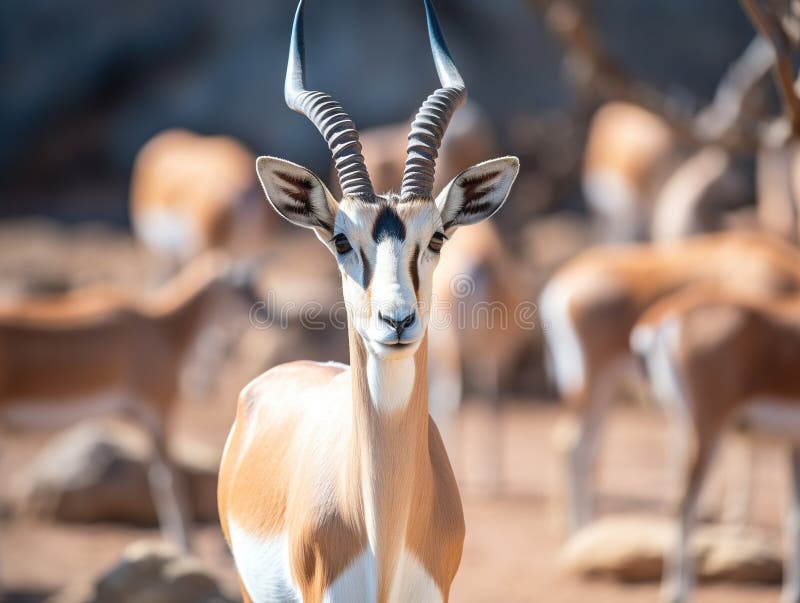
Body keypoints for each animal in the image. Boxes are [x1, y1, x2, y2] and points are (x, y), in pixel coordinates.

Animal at [0, 252, 258, 551]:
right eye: (239, 286)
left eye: (254, 282)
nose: (266, 312)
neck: (162, 326)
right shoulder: (158, 413)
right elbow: (168, 480)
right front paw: (184, 546)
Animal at [539, 230, 800, 533]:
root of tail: (562, 286)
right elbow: (743, 449)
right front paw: (736, 523)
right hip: (591, 383)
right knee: (575, 445)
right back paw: (581, 527)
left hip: (606, 388)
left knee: (583, 447)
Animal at [631, 287, 800, 603]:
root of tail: (670, 315)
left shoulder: (791, 444)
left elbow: (793, 519)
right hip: (709, 428)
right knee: (684, 502)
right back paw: (678, 592)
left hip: (684, 426)